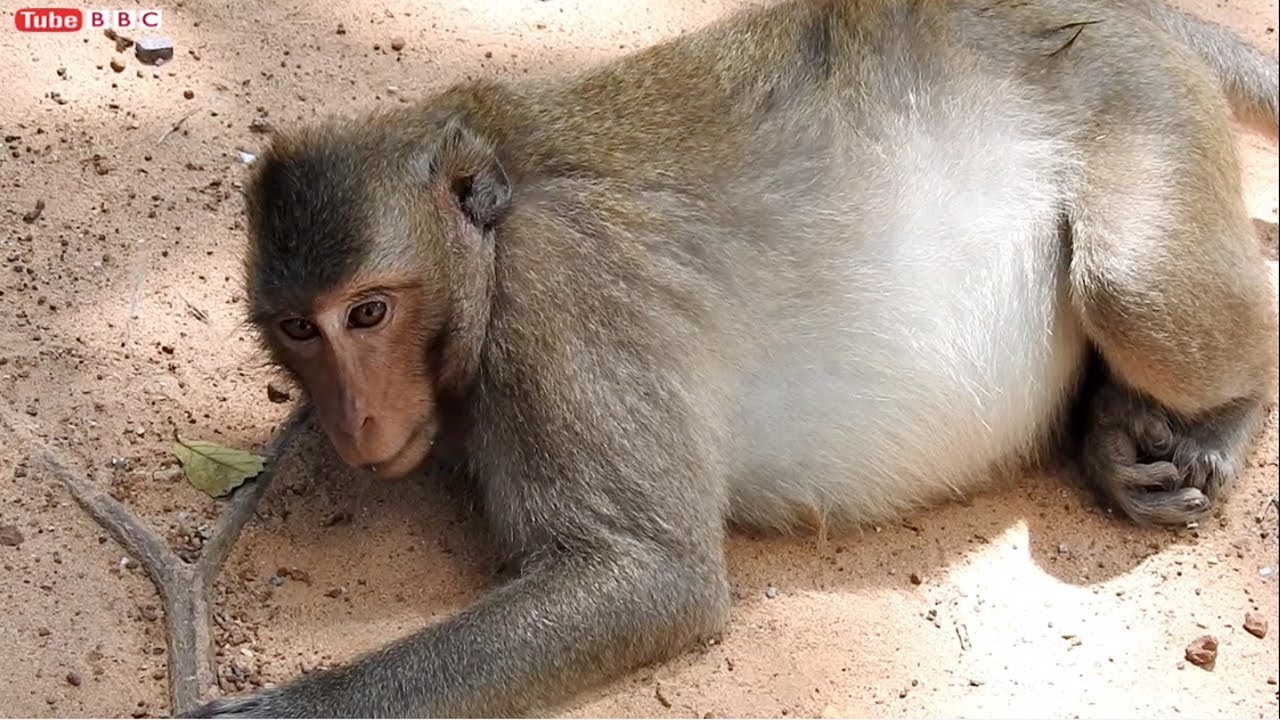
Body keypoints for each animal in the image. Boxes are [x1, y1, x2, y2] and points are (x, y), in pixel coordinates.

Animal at [187, 0, 1279, 716]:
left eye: (368, 312)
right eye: (300, 329)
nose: (352, 419)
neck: (492, 247)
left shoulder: (561, 311)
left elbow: (652, 579)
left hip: (1133, 96)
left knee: (1137, 291)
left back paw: (1220, 410)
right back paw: (1111, 432)